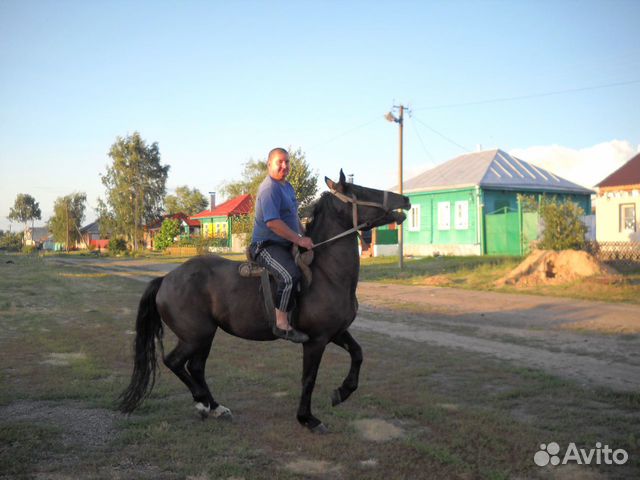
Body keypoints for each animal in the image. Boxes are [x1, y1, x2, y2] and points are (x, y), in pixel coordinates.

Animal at [118, 170, 410, 433]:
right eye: (359, 190)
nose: (405, 200)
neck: (326, 273)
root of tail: (166, 279)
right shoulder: (315, 340)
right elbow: (309, 378)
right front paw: (307, 418)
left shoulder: (336, 332)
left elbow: (358, 354)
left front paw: (342, 391)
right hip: (195, 336)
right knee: (175, 362)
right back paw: (203, 402)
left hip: (205, 336)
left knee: (196, 367)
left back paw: (214, 406)